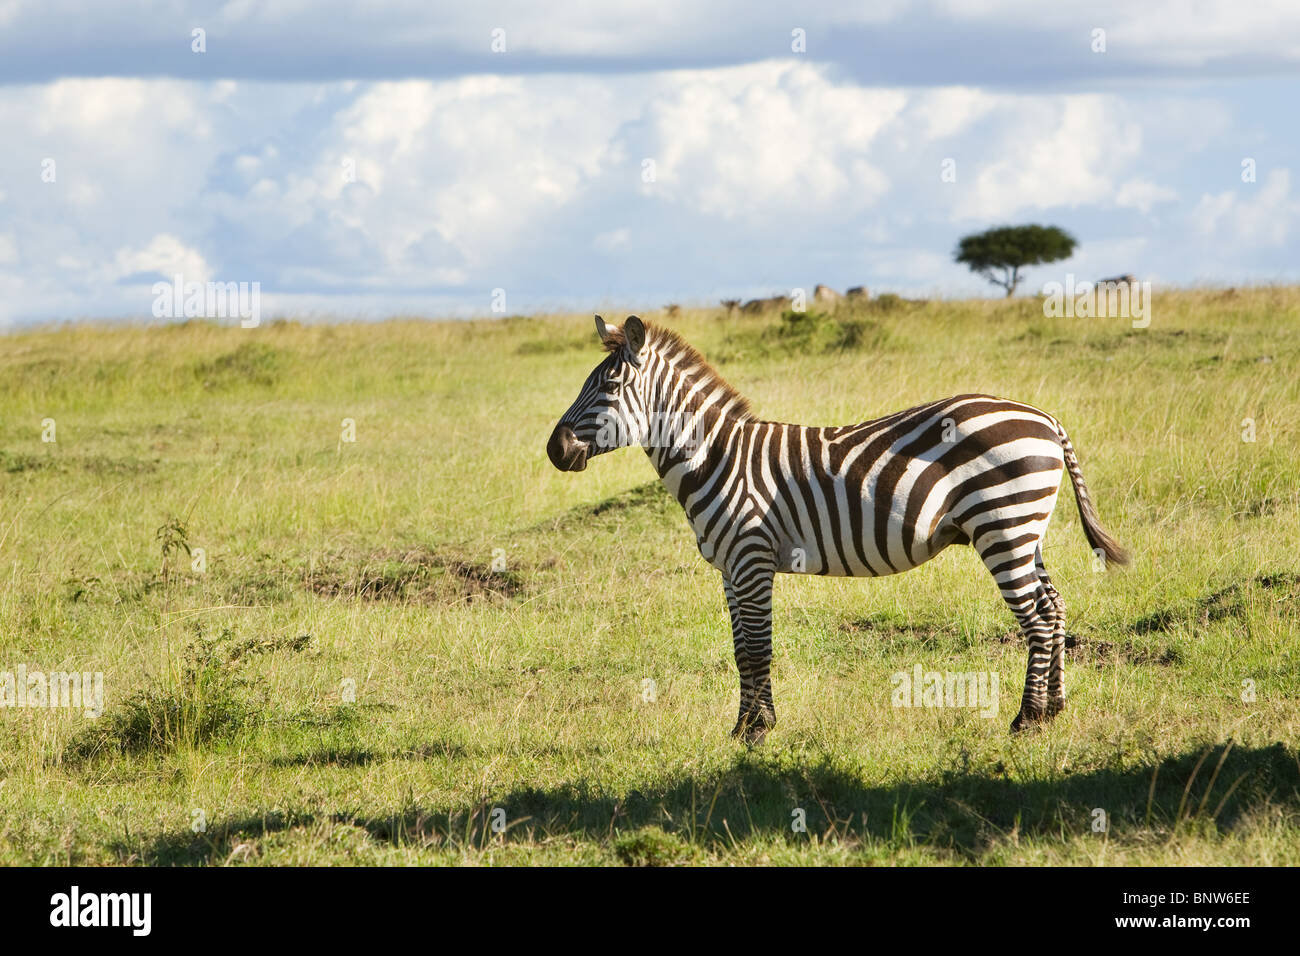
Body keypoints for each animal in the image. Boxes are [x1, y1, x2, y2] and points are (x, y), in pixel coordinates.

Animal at [547, 316, 1128, 741]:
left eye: (610, 386)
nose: (554, 450)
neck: (715, 457)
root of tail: (1045, 417)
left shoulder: (752, 558)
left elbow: (757, 647)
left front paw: (758, 731)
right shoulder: (730, 569)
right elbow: (740, 649)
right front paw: (741, 728)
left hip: (1002, 525)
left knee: (1038, 620)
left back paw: (1026, 720)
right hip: (1023, 530)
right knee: (1055, 608)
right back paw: (1054, 709)